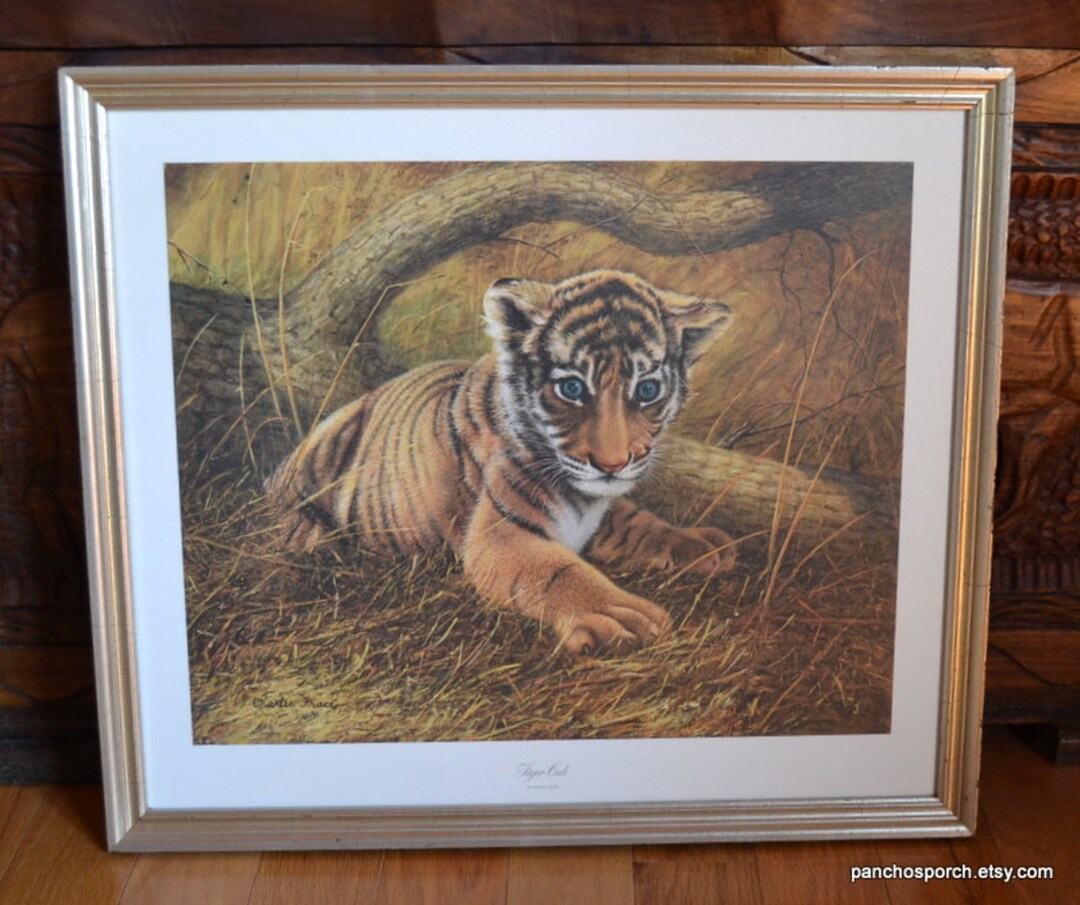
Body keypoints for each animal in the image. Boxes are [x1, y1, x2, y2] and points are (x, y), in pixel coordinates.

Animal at [266, 270, 736, 656]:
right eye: (571, 387)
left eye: (647, 390)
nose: (612, 464)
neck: (584, 495)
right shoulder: (502, 533)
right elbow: (555, 571)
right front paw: (621, 614)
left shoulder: (603, 509)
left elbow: (638, 521)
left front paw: (701, 544)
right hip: (327, 442)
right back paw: (309, 533)